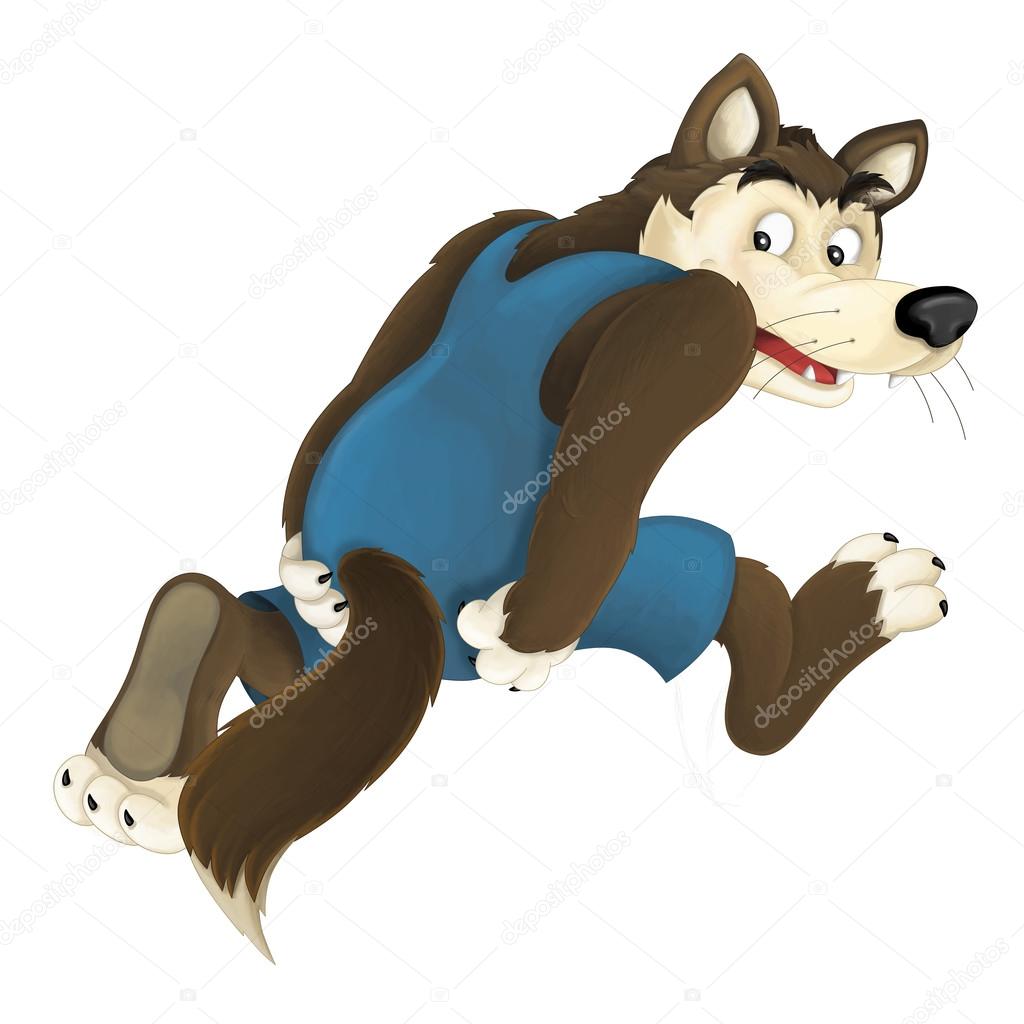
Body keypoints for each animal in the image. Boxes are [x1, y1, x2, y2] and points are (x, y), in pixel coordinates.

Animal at [55, 54, 977, 959]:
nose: (942, 310)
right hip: (642, 581)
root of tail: (373, 571)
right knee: (739, 631)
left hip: (320, 646)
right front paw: (524, 645)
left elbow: (352, 390)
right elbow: (600, 481)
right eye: (773, 239)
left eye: (852, 250)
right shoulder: (692, 323)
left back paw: (139, 768)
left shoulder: (471, 242)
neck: (620, 243)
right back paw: (871, 595)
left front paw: (296, 556)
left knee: (248, 623)